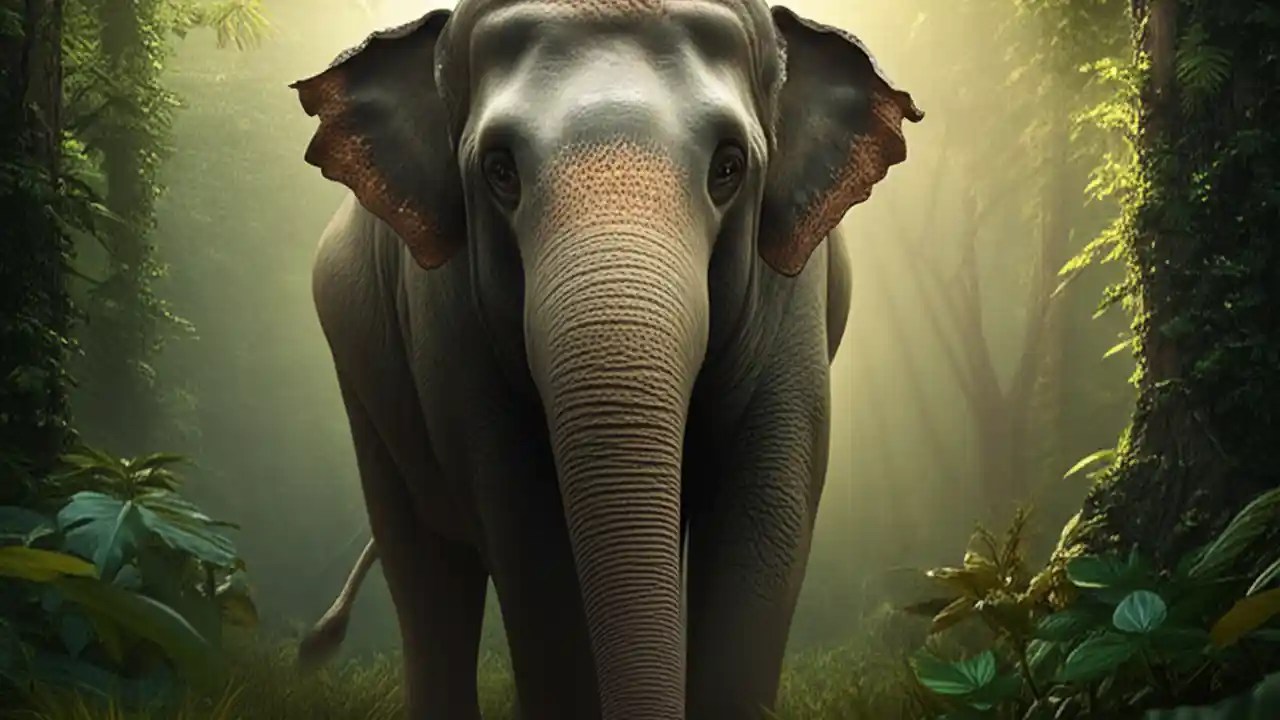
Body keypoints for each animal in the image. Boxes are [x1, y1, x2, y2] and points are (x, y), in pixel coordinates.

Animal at [291, 1, 921, 718]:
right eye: (500, 170)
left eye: (728, 167)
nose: (309, 645)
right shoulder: (446, 321)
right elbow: (526, 530)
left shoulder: (794, 300)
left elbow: (766, 510)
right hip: (362, 381)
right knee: (425, 564)